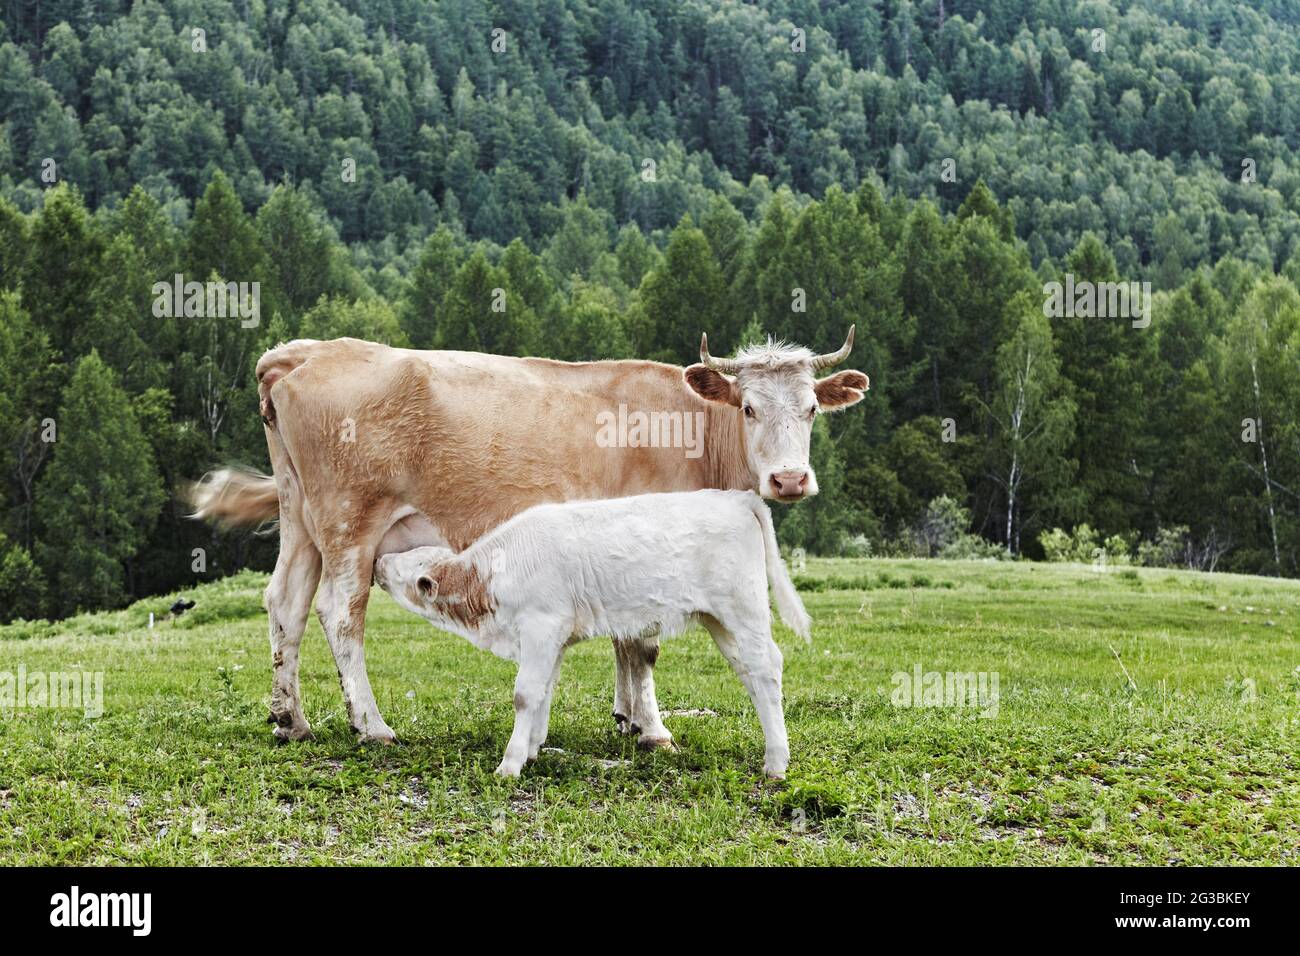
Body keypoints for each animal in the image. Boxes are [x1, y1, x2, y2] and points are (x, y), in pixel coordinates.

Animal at [187, 329, 868, 749]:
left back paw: (290, 720)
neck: (690, 427)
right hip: (350, 523)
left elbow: (626, 642)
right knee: (339, 612)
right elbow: (644, 645)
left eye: (811, 408)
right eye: (748, 407)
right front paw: (654, 730)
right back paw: (371, 725)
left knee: (285, 604)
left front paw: (626, 718)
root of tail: (303, 352)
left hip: (301, 519)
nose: (788, 479)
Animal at [373, 489, 809, 778]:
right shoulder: (553, 638)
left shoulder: (540, 624)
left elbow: (525, 694)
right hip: (718, 619)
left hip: (744, 608)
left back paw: (776, 762)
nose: (378, 561)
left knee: (767, 668)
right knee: (750, 673)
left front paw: (509, 764)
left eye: (404, 568)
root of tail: (738, 497)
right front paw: (532, 749)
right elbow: (544, 692)